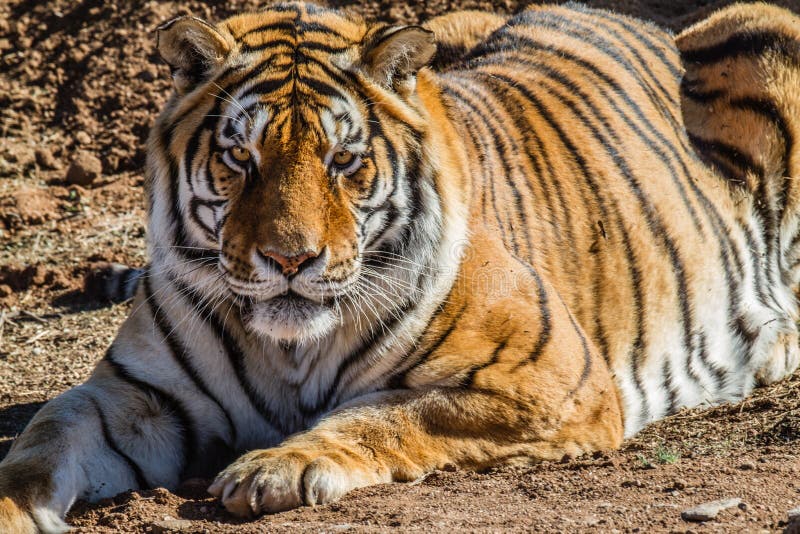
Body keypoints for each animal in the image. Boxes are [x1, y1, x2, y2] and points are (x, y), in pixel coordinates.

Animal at [2, 2, 800, 532]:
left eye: (343, 160)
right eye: (240, 156)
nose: (290, 258)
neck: (289, 349)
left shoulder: (549, 382)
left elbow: (388, 412)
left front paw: (275, 466)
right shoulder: (136, 396)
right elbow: (46, 437)